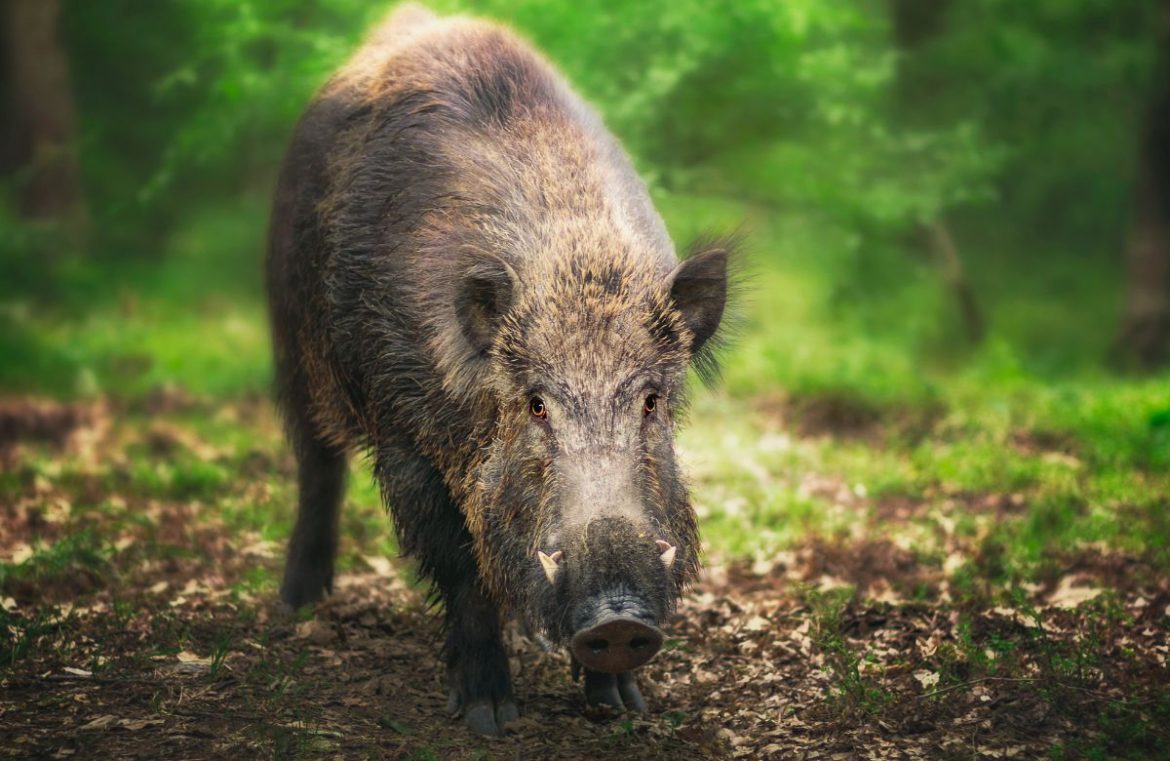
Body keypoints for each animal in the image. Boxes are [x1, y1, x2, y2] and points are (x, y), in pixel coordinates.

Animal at [266, 4, 731, 736]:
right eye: (535, 403)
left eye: (652, 400)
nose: (618, 619)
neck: (570, 261)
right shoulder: (403, 429)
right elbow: (460, 565)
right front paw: (488, 717)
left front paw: (623, 706)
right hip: (292, 336)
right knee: (317, 465)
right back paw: (300, 603)